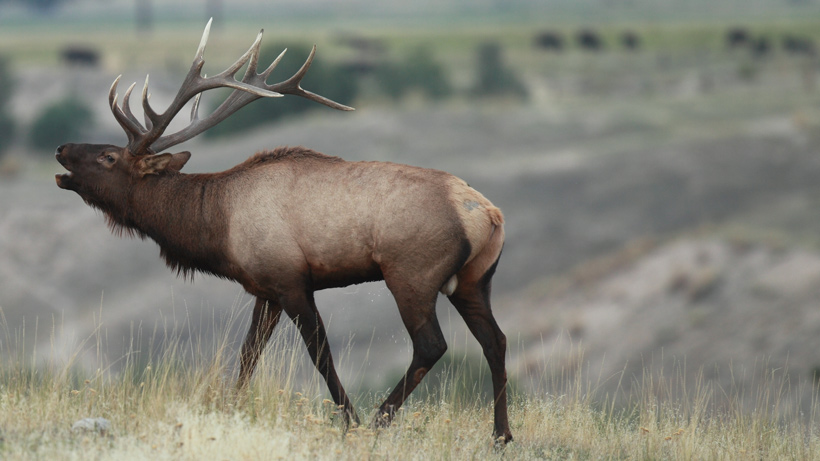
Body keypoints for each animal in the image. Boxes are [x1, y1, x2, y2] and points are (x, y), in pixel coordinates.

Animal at [54, 20, 512, 444]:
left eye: (109, 156)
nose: (60, 148)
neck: (217, 224)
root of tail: (488, 214)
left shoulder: (290, 279)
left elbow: (320, 354)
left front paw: (349, 421)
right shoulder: (265, 290)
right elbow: (247, 356)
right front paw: (230, 409)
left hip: (411, 274)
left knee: (432, 345)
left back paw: (379, 420)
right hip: (475, 280)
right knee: (495, 341)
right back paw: (501, 435)